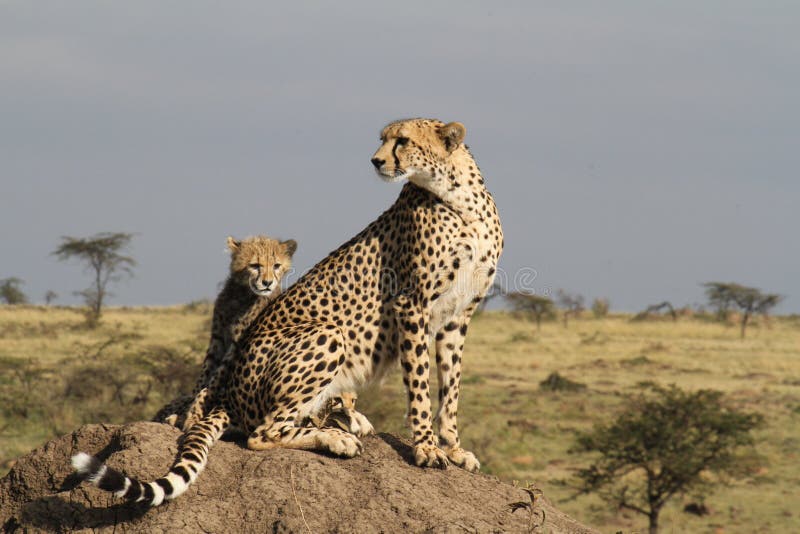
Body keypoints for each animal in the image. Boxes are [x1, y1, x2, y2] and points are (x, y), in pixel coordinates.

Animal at [71, 118, 503, 506]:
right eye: (384, 138)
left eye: (403, 140)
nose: (376, 161)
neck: (459, 199)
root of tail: (229, 395)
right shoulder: (411, 305)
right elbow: (419, 386)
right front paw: (426, 448)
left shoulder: (457, 316)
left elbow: (450, 387)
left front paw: (453, 447)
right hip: (327, 334)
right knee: (262, 433)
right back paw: (338, 439)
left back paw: (346, 424)